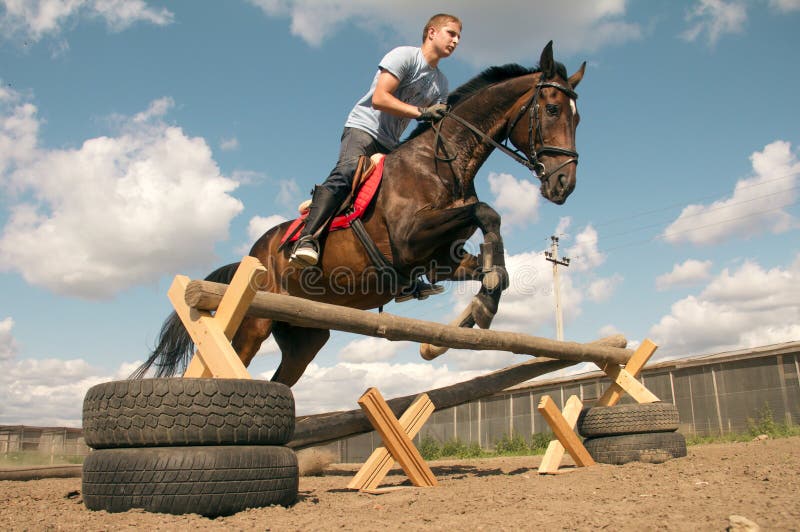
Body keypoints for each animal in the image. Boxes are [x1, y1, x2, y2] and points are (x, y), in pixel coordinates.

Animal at [134, 41, 585, 386]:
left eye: (577, 116)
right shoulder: (409, 238)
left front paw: (459, 324)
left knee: (282, 380)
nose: (564, 184)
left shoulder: (439, 261)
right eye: (552, 110)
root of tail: (251, 255)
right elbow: (488, 212)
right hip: (252, 324)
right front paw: (481, 308)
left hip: (306, 335)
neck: (443, 162)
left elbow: (495, 269)